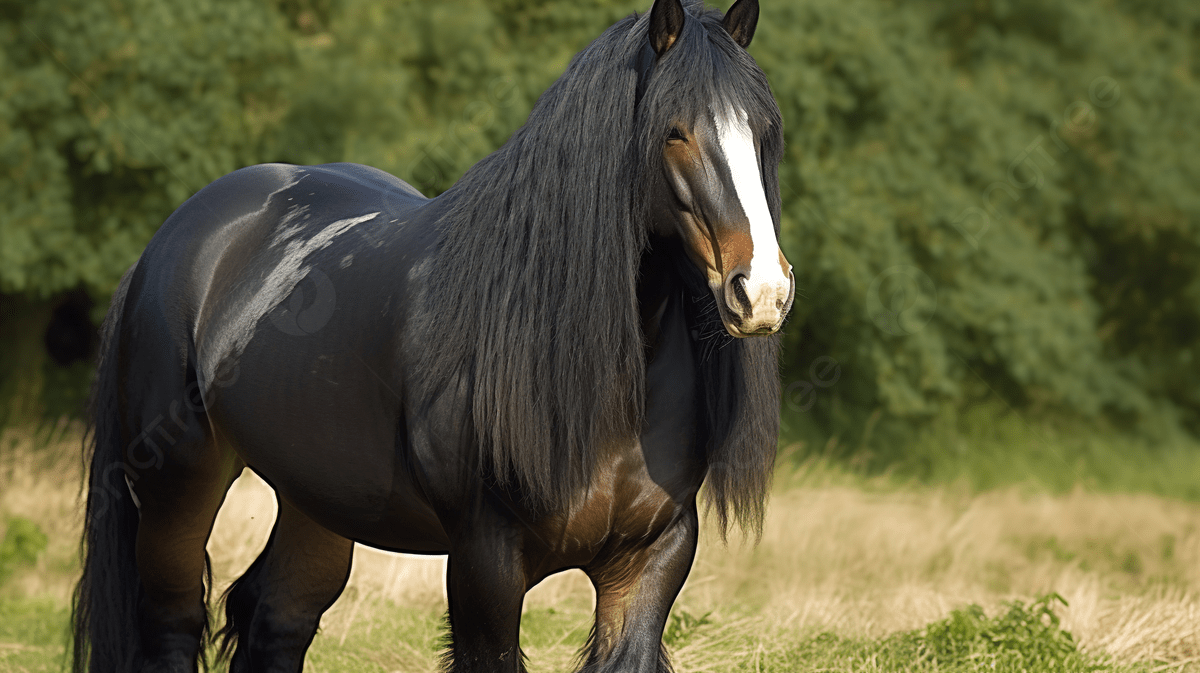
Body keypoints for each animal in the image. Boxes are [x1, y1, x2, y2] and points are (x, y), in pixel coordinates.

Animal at [72, 0, 792, 670]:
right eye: (674, 132)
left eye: (763, 132)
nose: (761, 291)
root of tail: (178, 237)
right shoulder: (484, 562)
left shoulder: (650, 559)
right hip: (179, 485)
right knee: (173, 623)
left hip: (318, 504)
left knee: (277, 618)